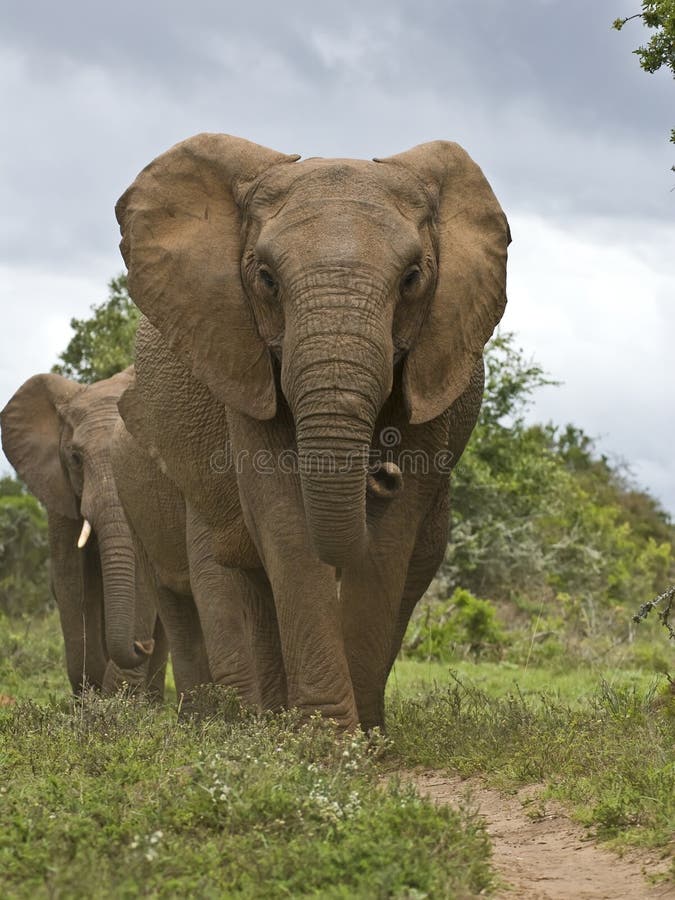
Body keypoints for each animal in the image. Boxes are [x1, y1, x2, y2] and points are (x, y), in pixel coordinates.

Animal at [0, 369, 167, 696]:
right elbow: (72, 579)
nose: (142, 644)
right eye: (76, 458)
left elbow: (143, 579)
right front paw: (93, 692)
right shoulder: (59, 493)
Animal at [115, 133, 510, 730]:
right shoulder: (241, 357)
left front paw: (362, 738)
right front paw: (325, 739)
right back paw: (265, 723)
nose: (381, 470)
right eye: (265, 278)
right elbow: (281, 513)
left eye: (413, 278)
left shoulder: (434, 358)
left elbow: (390, 535)